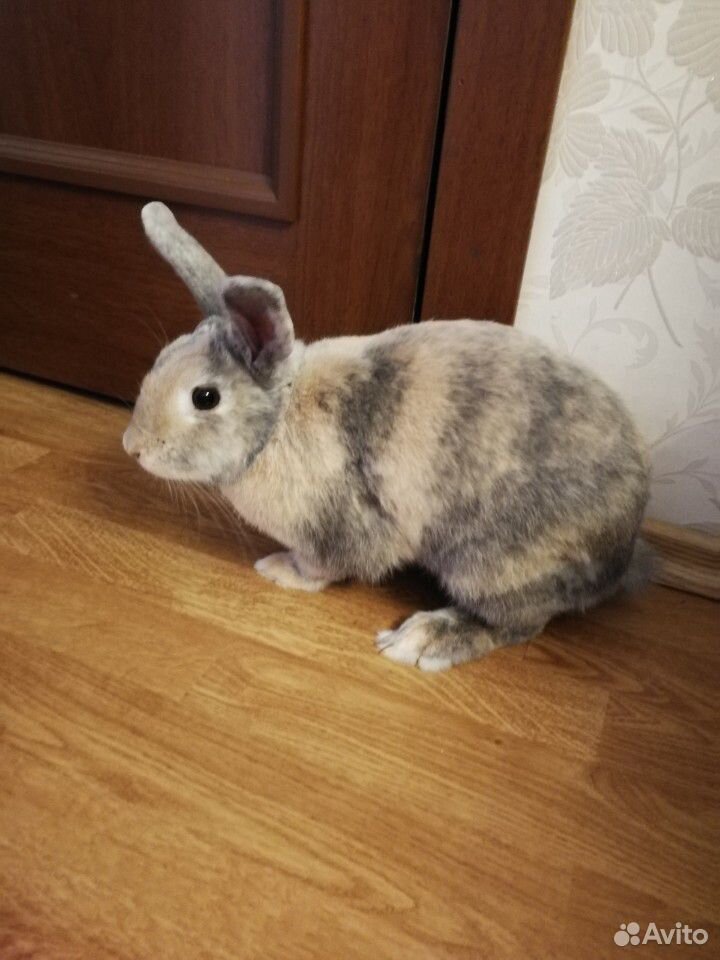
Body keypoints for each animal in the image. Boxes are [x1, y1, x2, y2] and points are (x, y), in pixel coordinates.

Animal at [123, 201, 652, 671]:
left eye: (205, 397)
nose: (133, 446)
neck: (276, 423)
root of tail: (623, 552)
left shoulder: (337, 531)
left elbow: (321, 569)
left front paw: (278, 570)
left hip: (494, 565)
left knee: (516, 624)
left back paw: (423, 640)